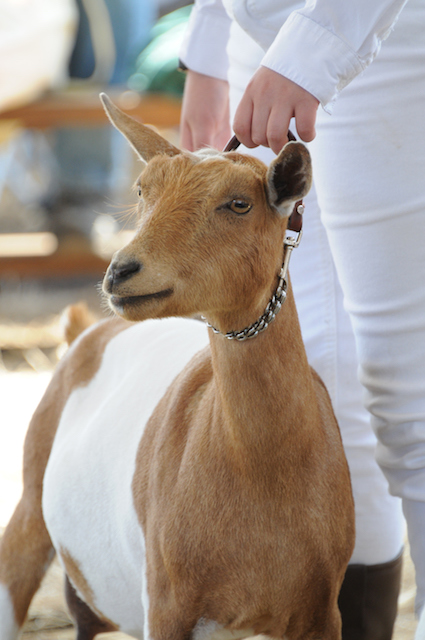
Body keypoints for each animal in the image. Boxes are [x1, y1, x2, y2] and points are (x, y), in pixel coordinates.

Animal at [0, 94, 354, 640]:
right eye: (142, 190)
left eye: (238, 203)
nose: (121, 271)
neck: (264, 471)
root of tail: (84, 333)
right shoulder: (167, 605)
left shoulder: (321, 612)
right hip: (30, 497)